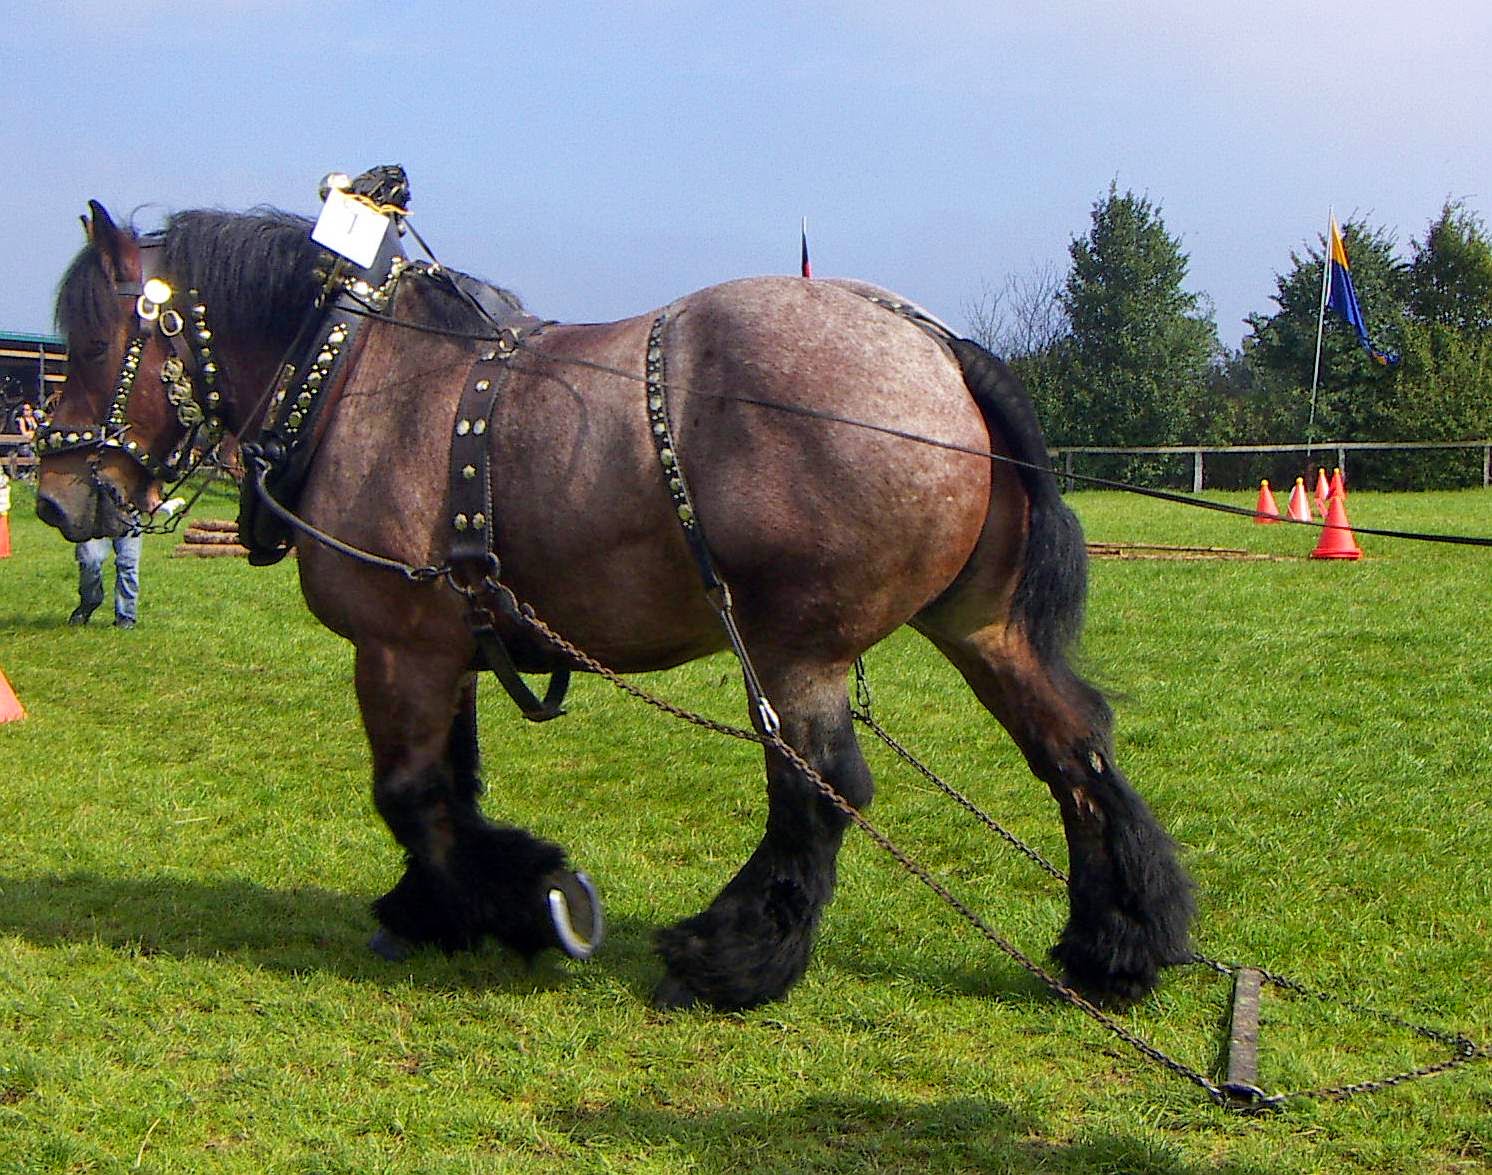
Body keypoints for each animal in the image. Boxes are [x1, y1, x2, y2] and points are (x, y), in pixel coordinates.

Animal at [35, 196, 1195, 1011]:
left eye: (89, 348)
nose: (53, 497)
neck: (354, 381)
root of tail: (937, 348)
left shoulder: (396, 643)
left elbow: (409, 793)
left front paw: (529, 901)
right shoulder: (447, 641)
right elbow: (448, 787)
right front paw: (440, 905)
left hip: (794, 646)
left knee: (821, 789)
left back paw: (727, 958)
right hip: (975, 624)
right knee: (1074, 747)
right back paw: (1118, 942)